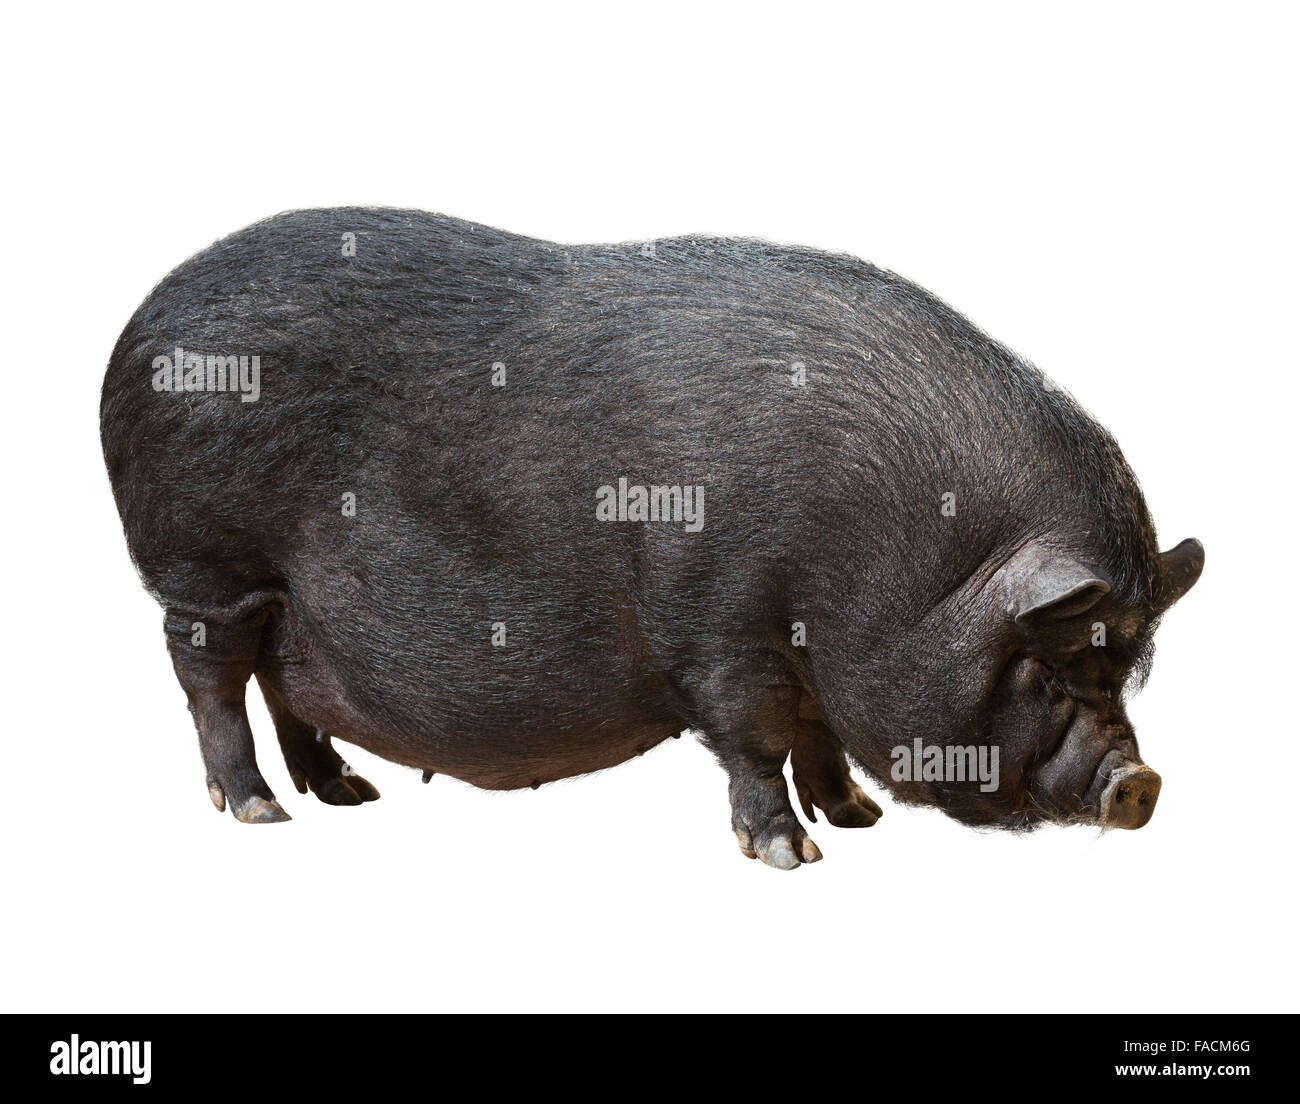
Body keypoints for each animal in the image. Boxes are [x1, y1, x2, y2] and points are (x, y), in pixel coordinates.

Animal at [100, 207, 1203, 868]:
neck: (907, 566)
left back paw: (346, 794)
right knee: (212, 682)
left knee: (285, 680)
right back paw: (259, 812)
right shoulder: (719, 627)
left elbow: (815, 729)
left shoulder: (802, 643)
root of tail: (140, 322)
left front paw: (856, 817)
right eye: (1049, 664)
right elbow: (757, 736)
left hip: (280, 596)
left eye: (1125, 666)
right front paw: (795, 857)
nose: (1141, 784)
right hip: (203, 568)